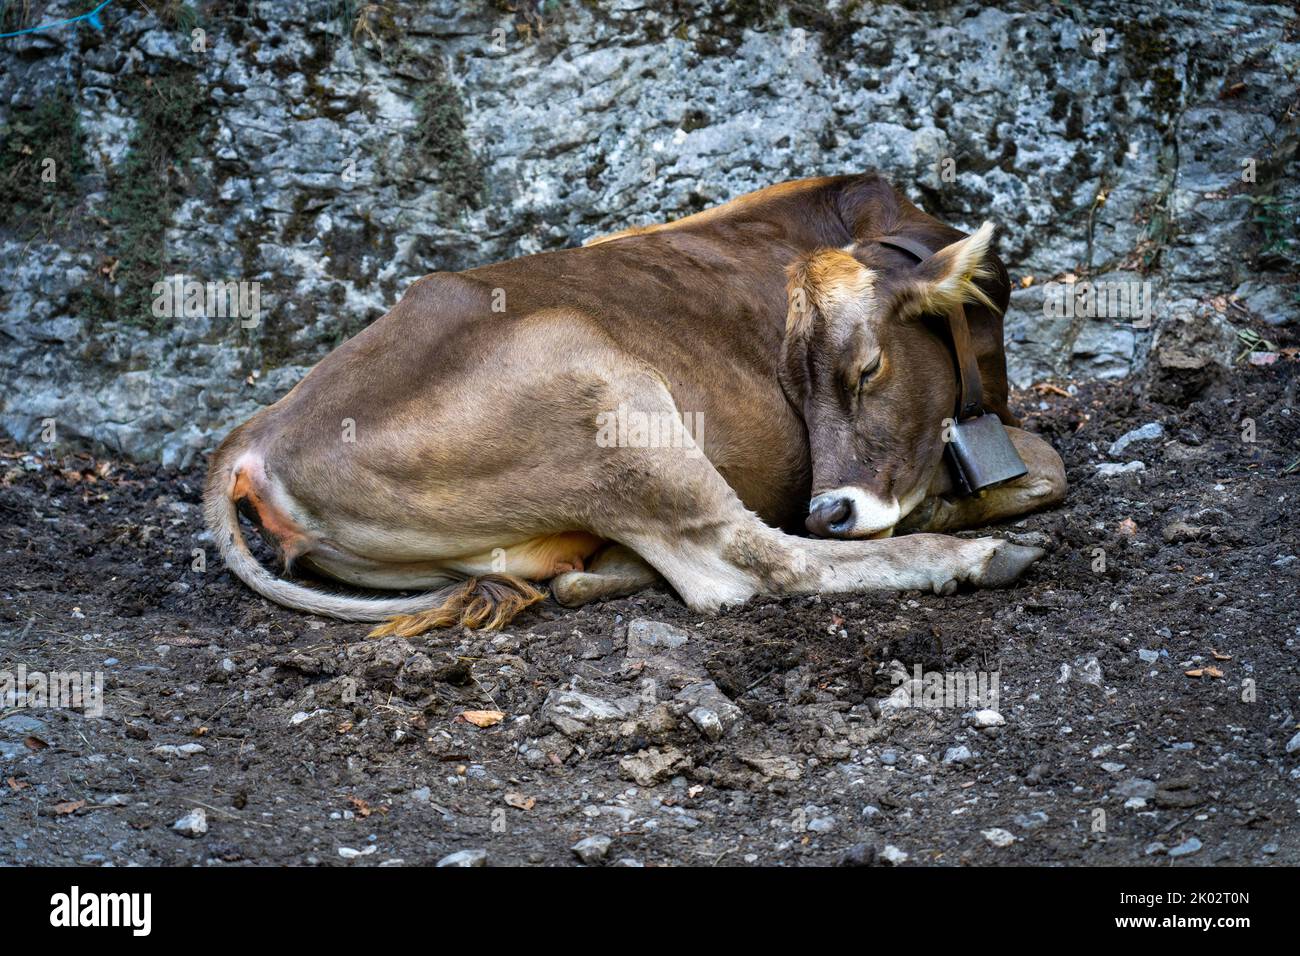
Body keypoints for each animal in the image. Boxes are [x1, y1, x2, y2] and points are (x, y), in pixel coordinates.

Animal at [203, 173, 1066, 636]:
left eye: (868, 368)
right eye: (793, 385)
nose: (830, 511)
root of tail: (258, 433)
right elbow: (1049, 464)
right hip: (607, 396)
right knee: (744, 564)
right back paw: (971, 558)